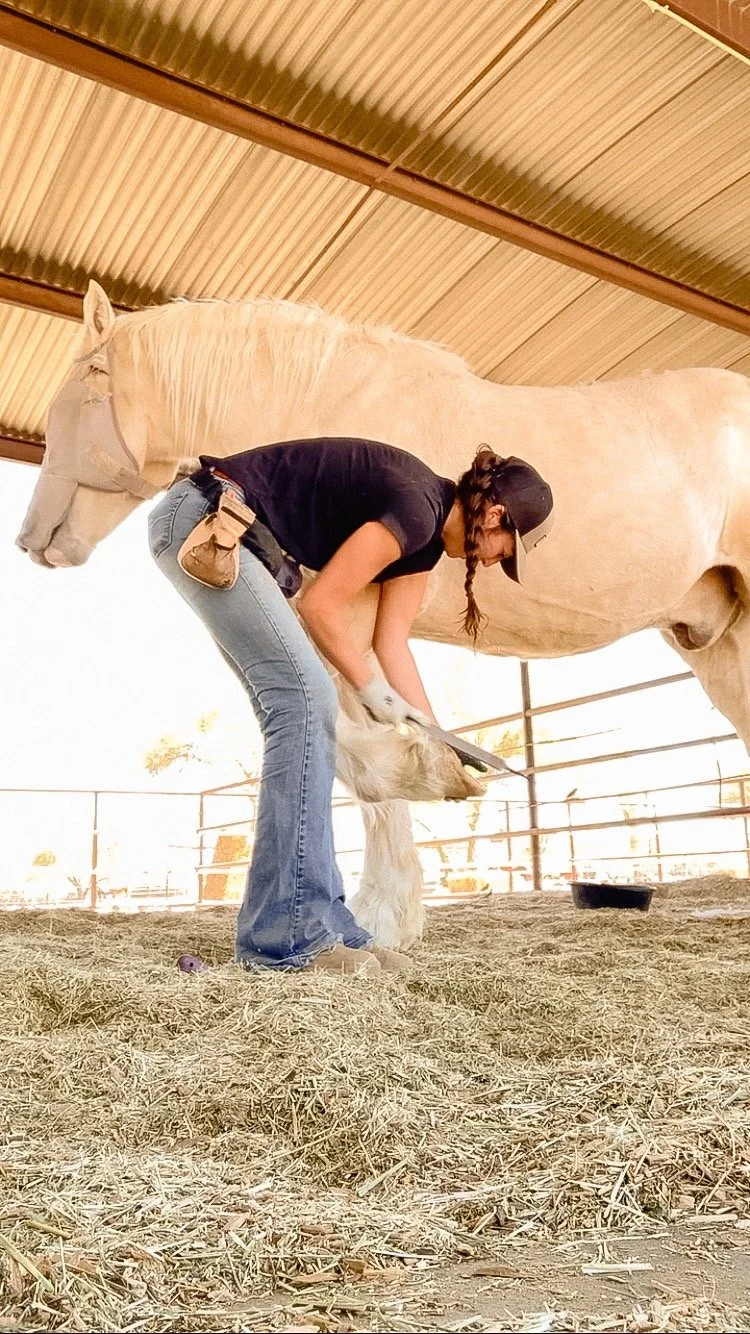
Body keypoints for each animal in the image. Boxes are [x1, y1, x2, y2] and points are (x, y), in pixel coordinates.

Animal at [17, 280, 750, 946]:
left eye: (71, 400)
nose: (32, 540)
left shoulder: (352, 609)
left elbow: (367, 751)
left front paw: (385, 911)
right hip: (716, 641)